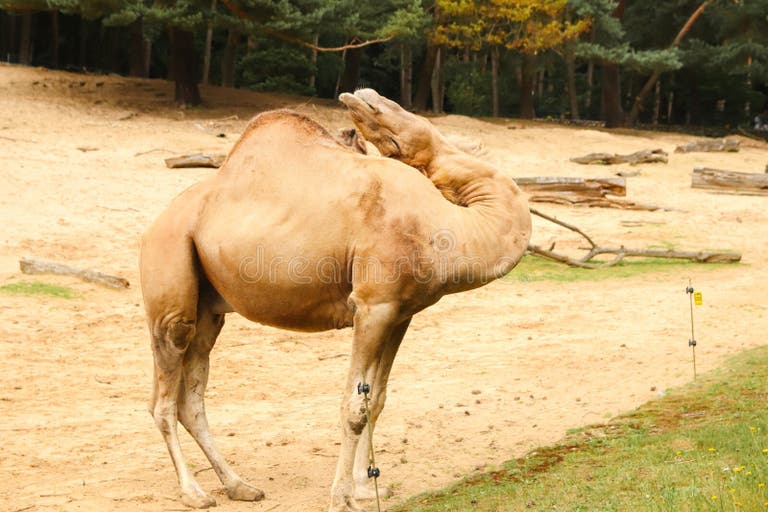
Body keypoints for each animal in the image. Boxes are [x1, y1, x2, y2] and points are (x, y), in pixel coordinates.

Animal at [139, 90, 531, 512]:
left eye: (393, 133)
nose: (363, 96)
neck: (452, 230)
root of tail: (154, 227)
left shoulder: (400, 313)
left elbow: (376, 398)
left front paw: (364, 489)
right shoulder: (373, 305)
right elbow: (354, 407)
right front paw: (341, 497)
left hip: (209, 310)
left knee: (191, 398)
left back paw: (239, 486)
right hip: (171, 286)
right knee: (163, 399)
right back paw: (193, 492)